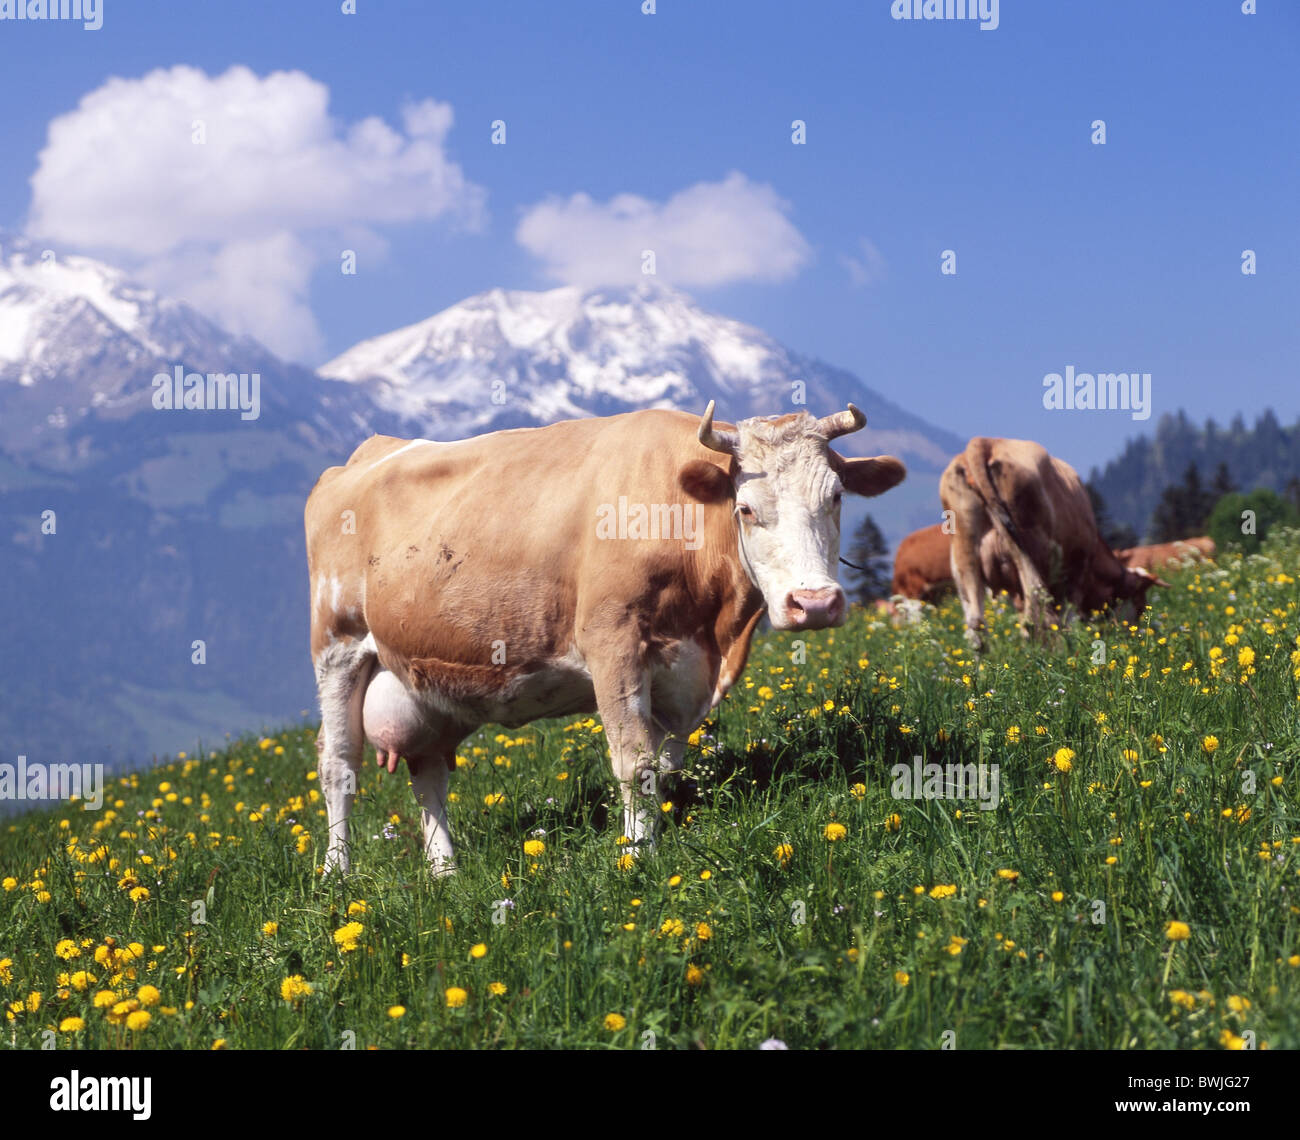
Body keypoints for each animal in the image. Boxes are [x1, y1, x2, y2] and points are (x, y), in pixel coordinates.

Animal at [305, 404, 906, 874]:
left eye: (836, 497)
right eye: (747, 508)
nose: (816, 603)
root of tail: (365, 453)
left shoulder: (685, 671)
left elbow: (666, 765)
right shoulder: (613, 642)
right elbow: (634, 763)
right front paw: (638, 858)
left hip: (421, 678)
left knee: (427, 773)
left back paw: (445, 873)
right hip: (337, 644)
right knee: (338, 765)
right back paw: (338, 874)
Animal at [938, 437, 1164, 651]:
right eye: (1139, 606)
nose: (1132, 637)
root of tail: (984, 441)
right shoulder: (1076, 572)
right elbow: (1067, 620)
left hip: (963, 556)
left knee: (976, 626)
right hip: (1029, 550)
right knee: (1033, 613)